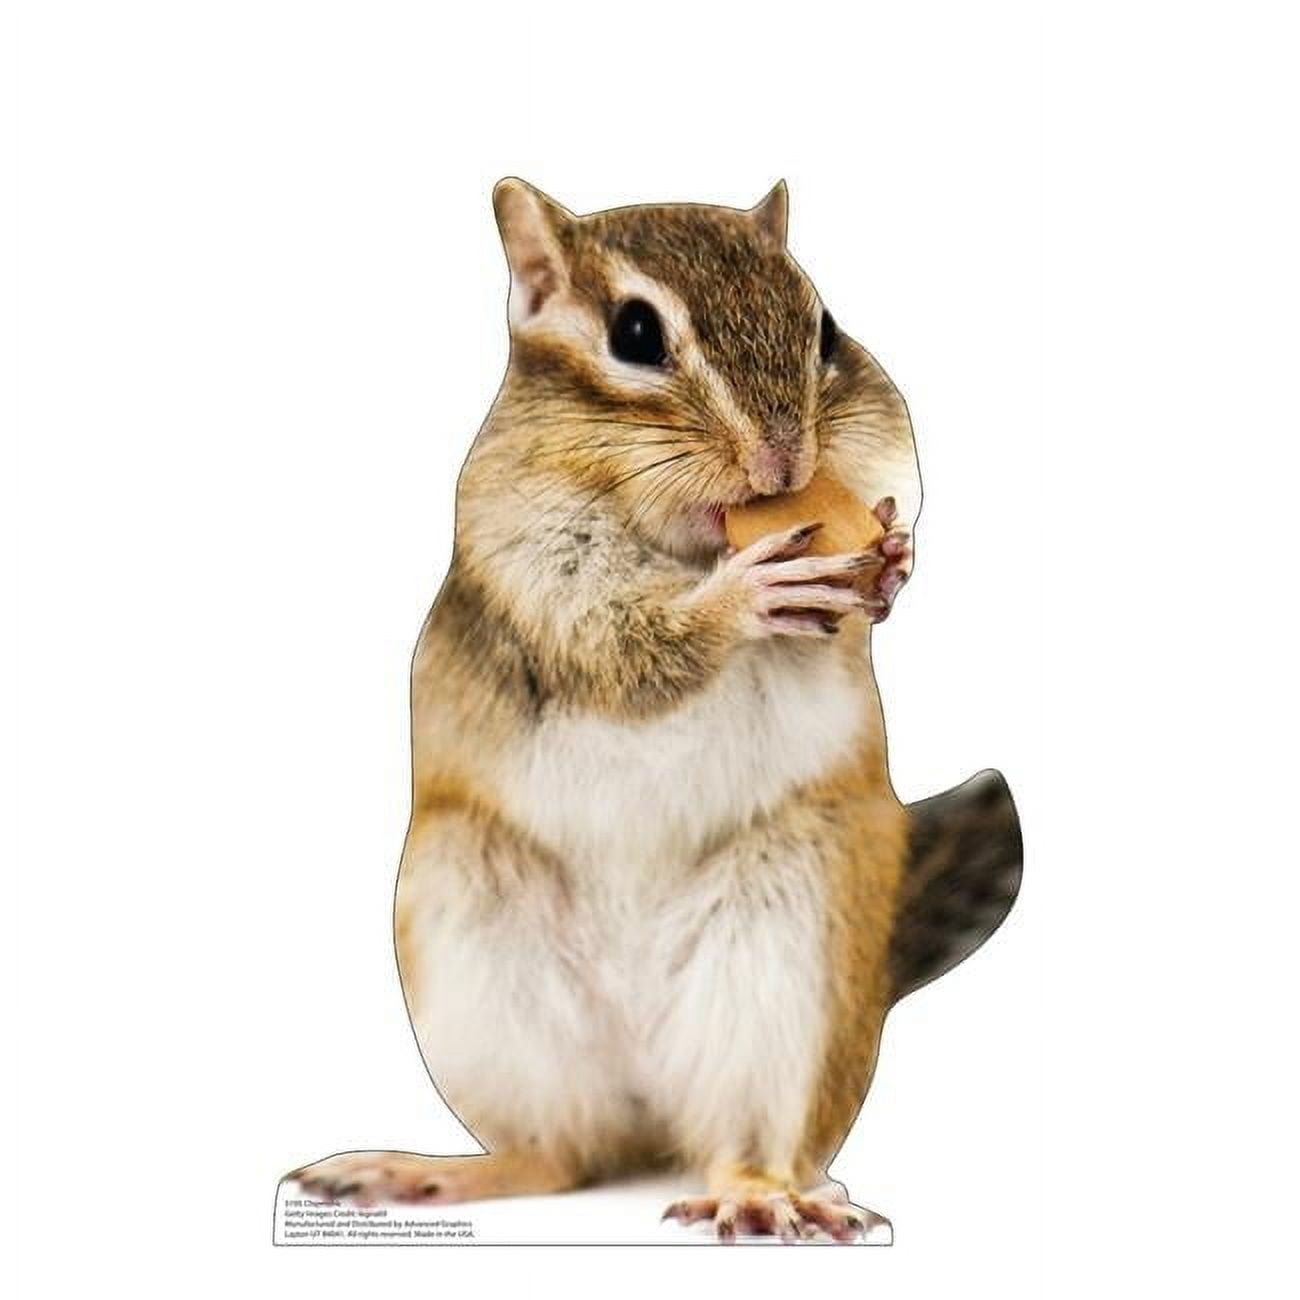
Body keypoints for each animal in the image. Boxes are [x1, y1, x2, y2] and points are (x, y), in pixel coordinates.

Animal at [287, 180, 1022, 1242]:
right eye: (634, 333)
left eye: (826, 327)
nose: (783, 463)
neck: (689, 543)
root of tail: (649, 1093)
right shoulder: (525, 551)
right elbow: (618, 637)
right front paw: (745, 596)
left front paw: (891, 561)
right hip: (476, 945)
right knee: (559, 1154)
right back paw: (427, 1174)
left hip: (790, 955)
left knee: (732, 1138)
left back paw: (762, 1194)